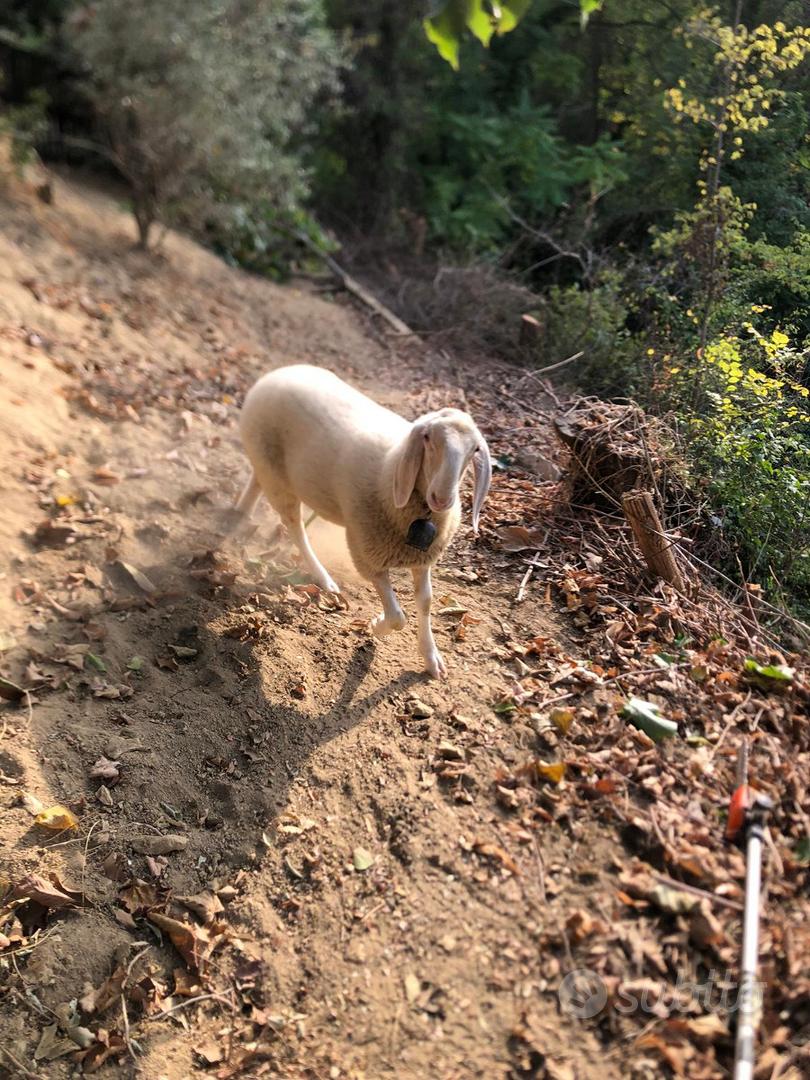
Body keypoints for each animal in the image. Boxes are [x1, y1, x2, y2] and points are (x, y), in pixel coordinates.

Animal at [234, 364, 491, 678]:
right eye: (428, 438)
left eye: (475, 450)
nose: (442, 498)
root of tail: (278, 372)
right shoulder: (368, 556)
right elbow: (397, 617)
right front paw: (376, 625)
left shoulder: (423, 559)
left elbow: (426, 602)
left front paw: (432, 658)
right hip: (277, 477)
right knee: (294, 527)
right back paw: (323, 577)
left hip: (269, 468)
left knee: (256, 483)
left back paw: (240, 513)